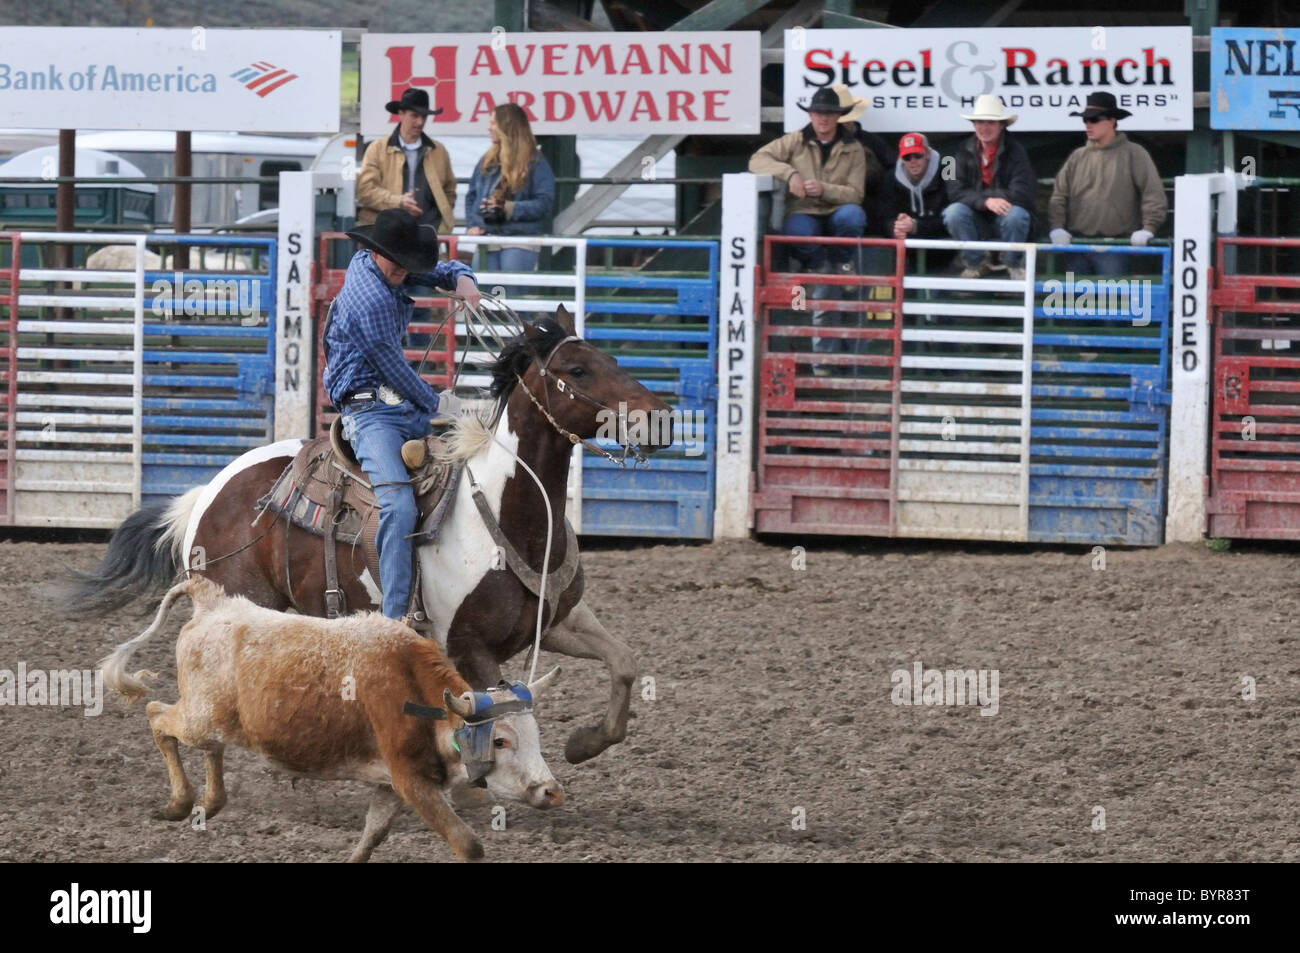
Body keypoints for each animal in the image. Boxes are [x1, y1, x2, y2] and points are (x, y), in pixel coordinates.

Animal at [99, 575, 563, 862]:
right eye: (501, 740)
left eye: (536, 736)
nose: (552, 792)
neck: (411, 685)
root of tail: (212, 604)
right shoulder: (411, 780)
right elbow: (466, 843)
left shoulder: (389, 785)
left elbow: (371, 836)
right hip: (198, 715)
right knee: (157, 716)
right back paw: (180, 801)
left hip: (217, 719)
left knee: (209, 747)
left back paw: (209, 802)